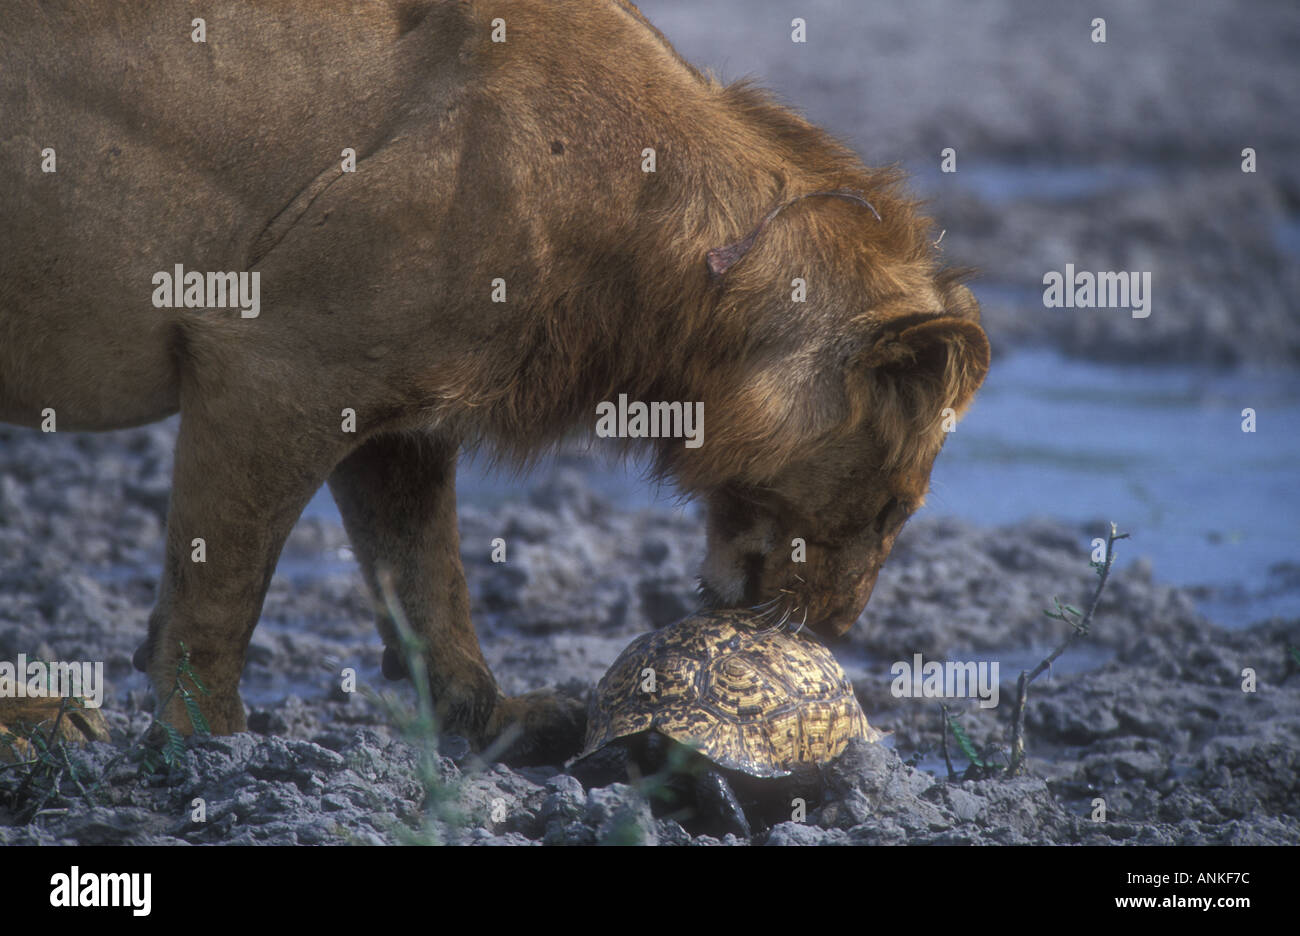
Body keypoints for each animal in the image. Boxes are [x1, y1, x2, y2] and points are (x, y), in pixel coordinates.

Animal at [0, 0, 988, 763]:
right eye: (894, 511)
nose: (836, 632)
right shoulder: (272, 364)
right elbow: (219, 593)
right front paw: (208, 745)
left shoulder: (395, 418)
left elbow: (428, 583)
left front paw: (496, 722)